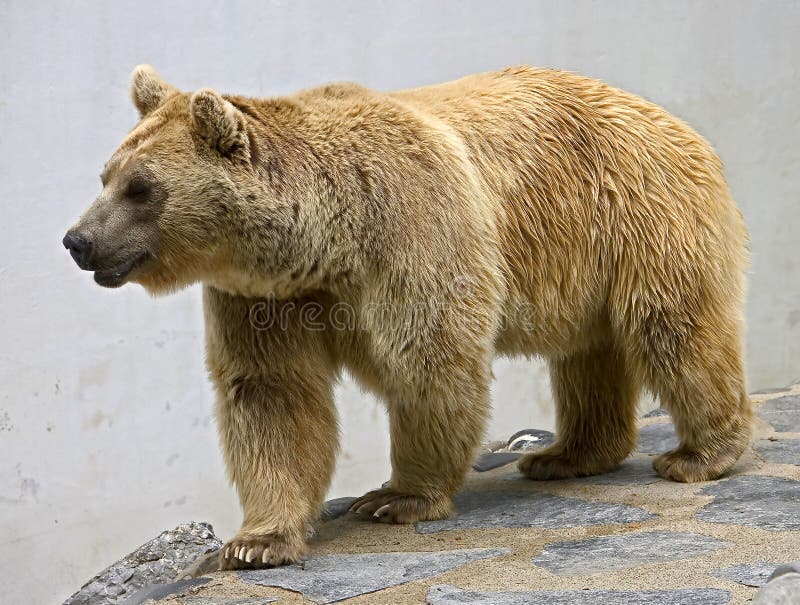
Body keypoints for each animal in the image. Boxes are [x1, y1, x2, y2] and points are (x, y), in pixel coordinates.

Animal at [64, 65, 752, 570]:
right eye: (105, 175)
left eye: (141, 188)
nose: (78, 241)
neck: (323, 244)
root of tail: (676, 123)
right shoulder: (263, 297)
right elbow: (272, 397)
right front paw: (257, 541)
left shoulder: (411, 230)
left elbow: (431, 362)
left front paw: (397, 496)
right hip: (584, 263)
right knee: (589, 355)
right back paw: (568, 455)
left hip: (637, 214)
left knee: (675, 330)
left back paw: (700, 454)